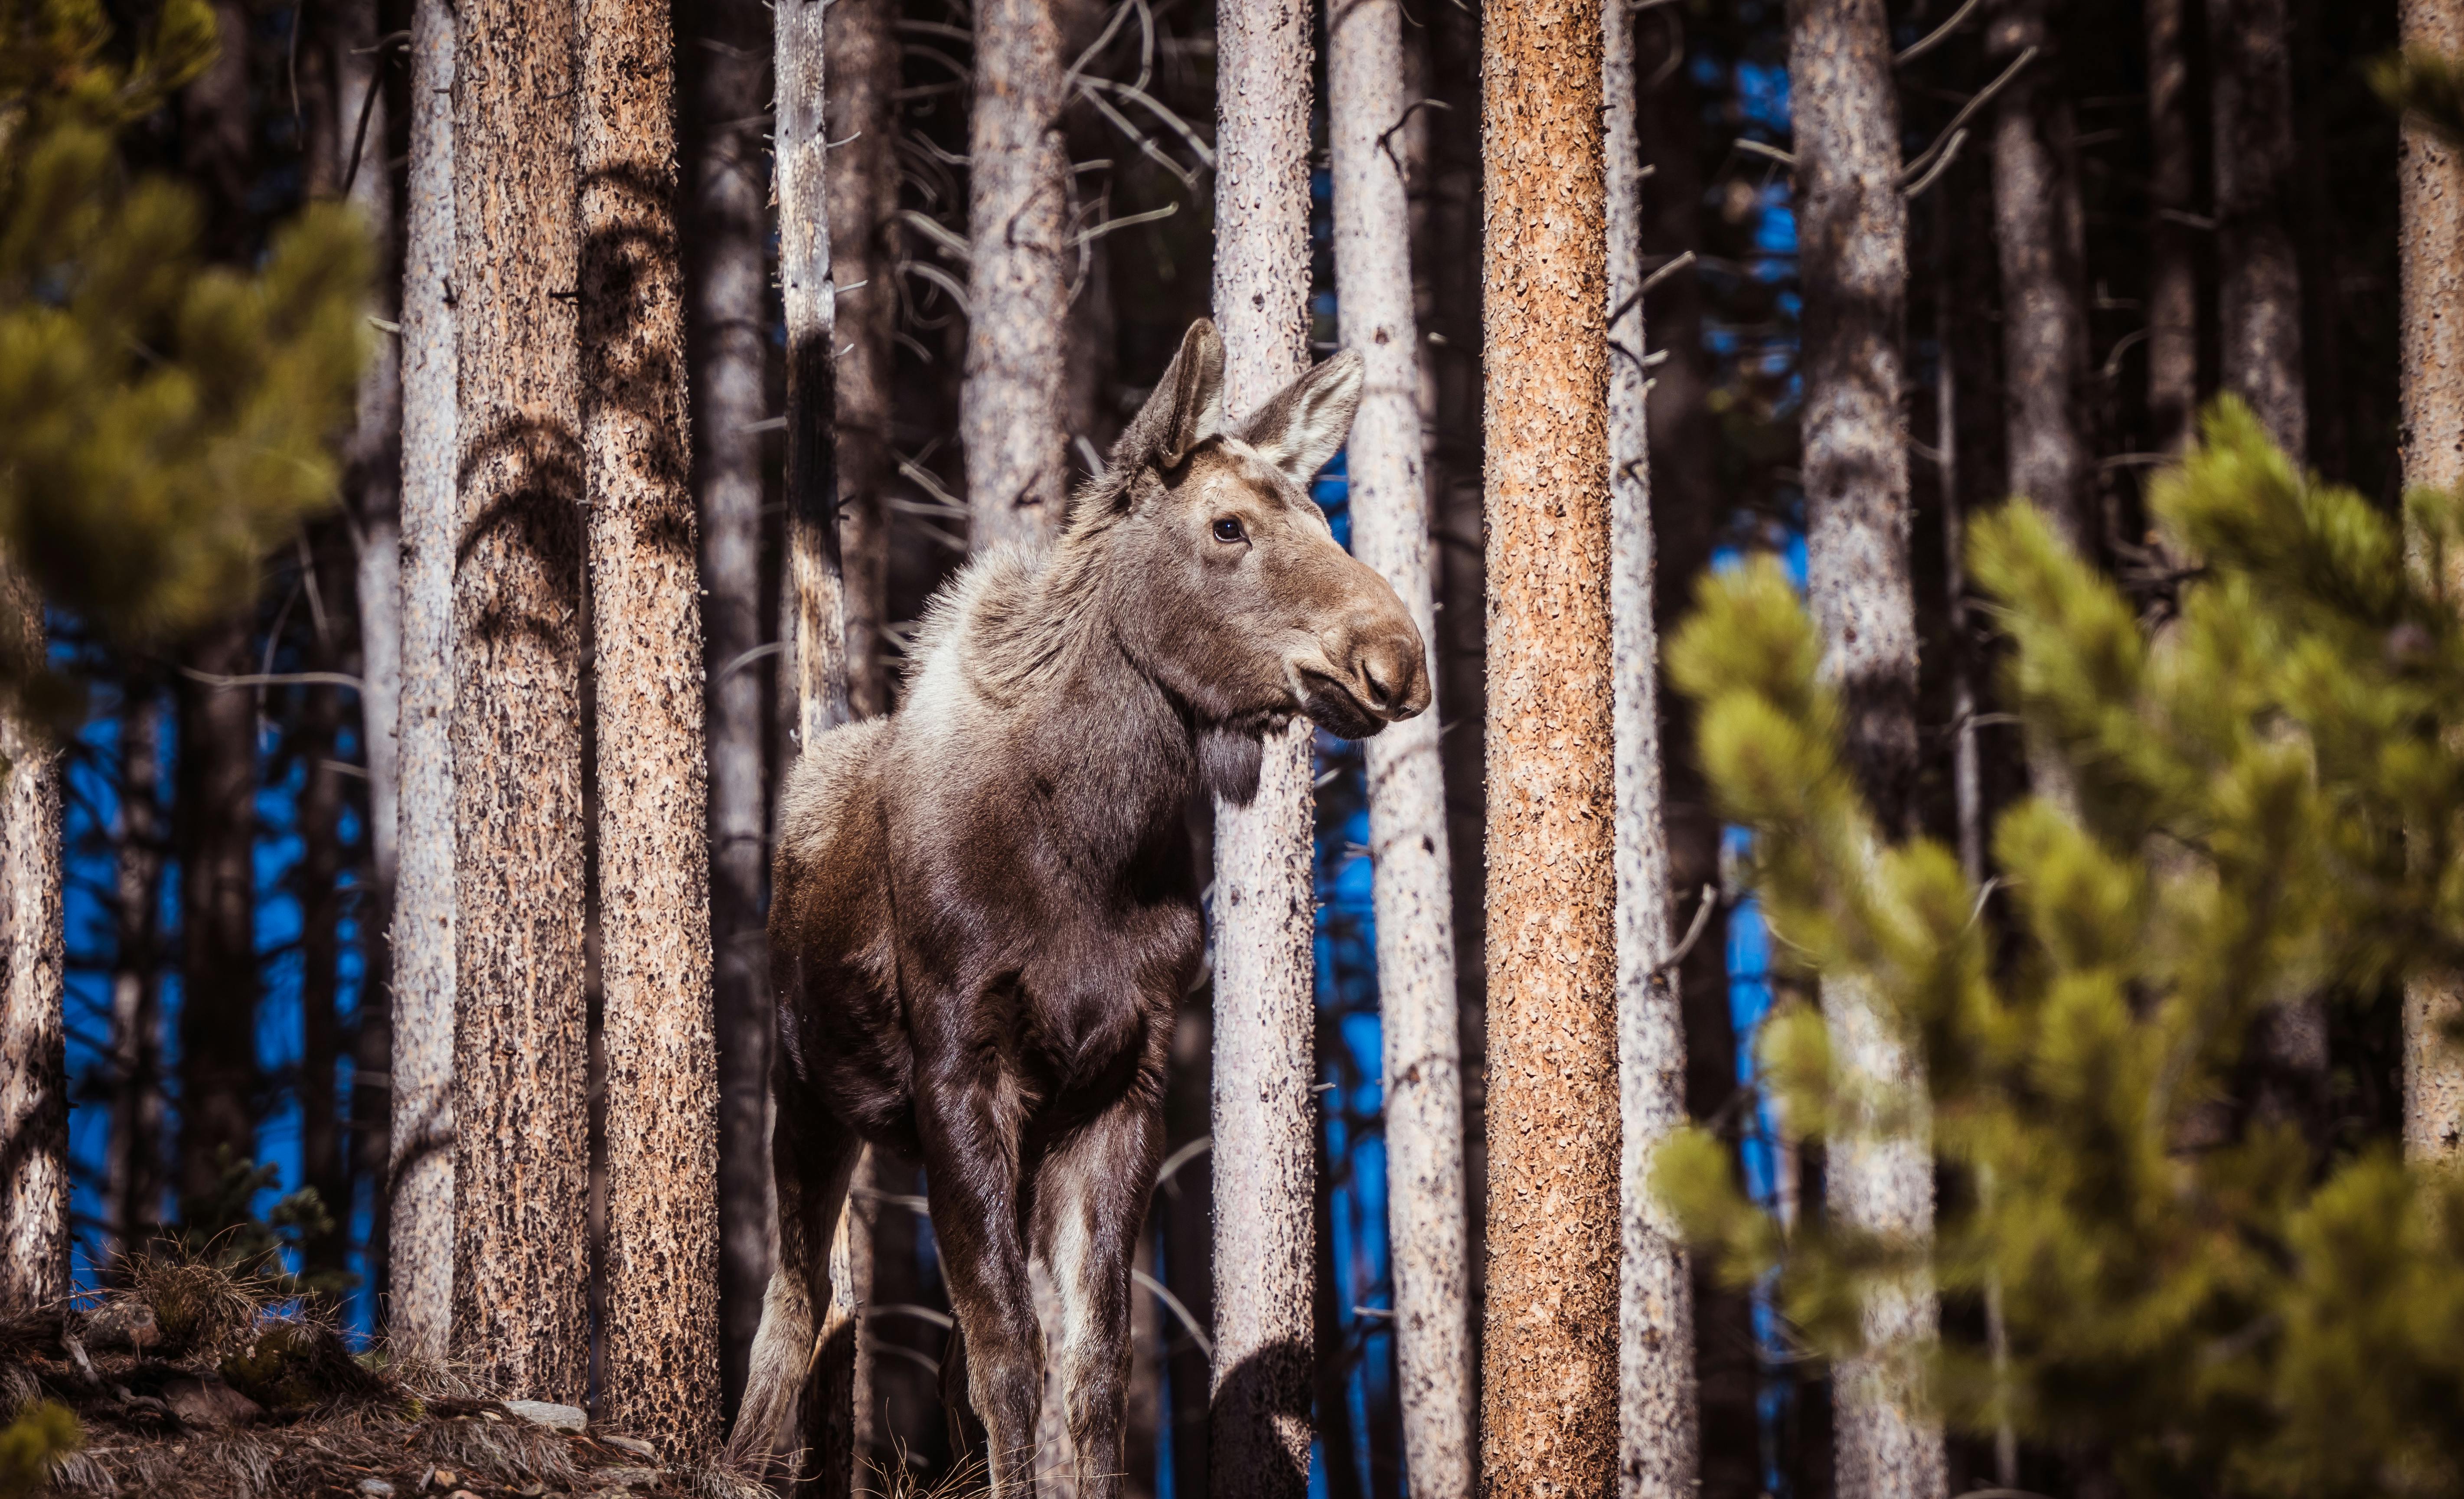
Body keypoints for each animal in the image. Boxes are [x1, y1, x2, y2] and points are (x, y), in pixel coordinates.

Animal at [726, 318, 1430, 1497]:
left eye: (1324, 514)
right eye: (1227, 523)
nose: (1396, 659)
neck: (1092, 845)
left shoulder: (1118, 1080)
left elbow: (1089, 1363)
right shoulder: (959, 1065)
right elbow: (1009, 1348)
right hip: (808, 1085)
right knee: (795, 1296)